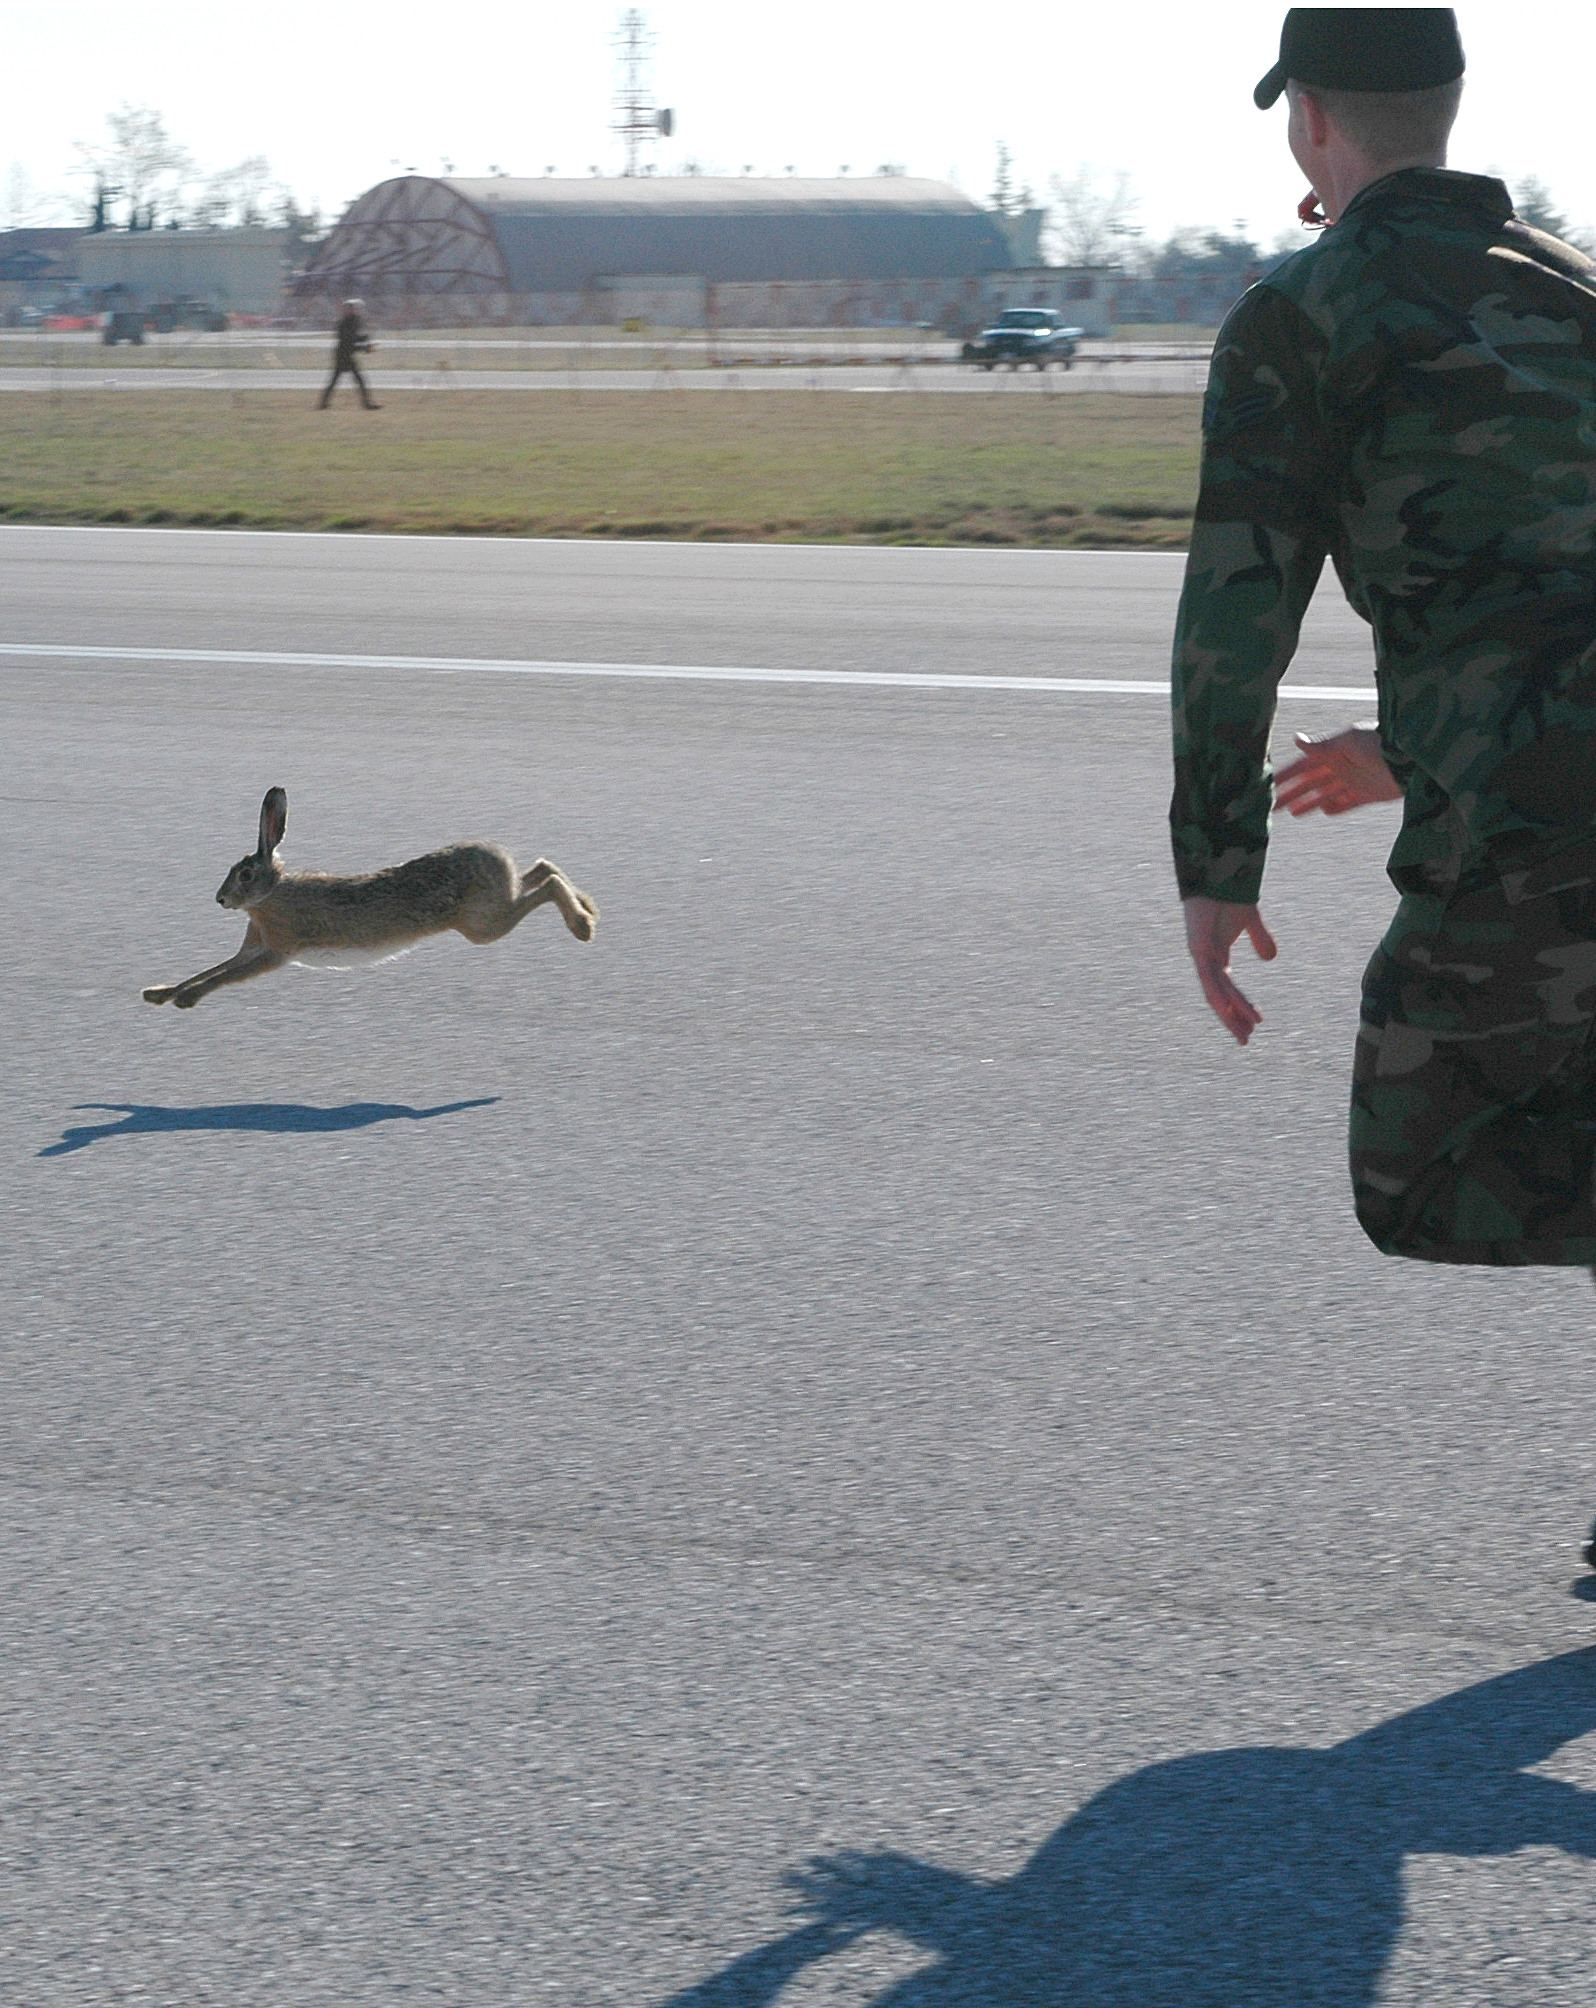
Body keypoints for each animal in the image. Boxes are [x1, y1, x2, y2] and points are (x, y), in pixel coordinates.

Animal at [144, 787, 597, 1010]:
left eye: (245, 874)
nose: (220, 899)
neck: (271, 893)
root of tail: (498, 855)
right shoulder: (252, 948)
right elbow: (213, 968)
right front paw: (160, 994)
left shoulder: (277, 951)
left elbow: (224, 976)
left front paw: (185, 1000)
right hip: (497, 905)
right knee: (542, 869)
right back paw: (589, 907)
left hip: (484, 925)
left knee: (544, 886)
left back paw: (583, 927)